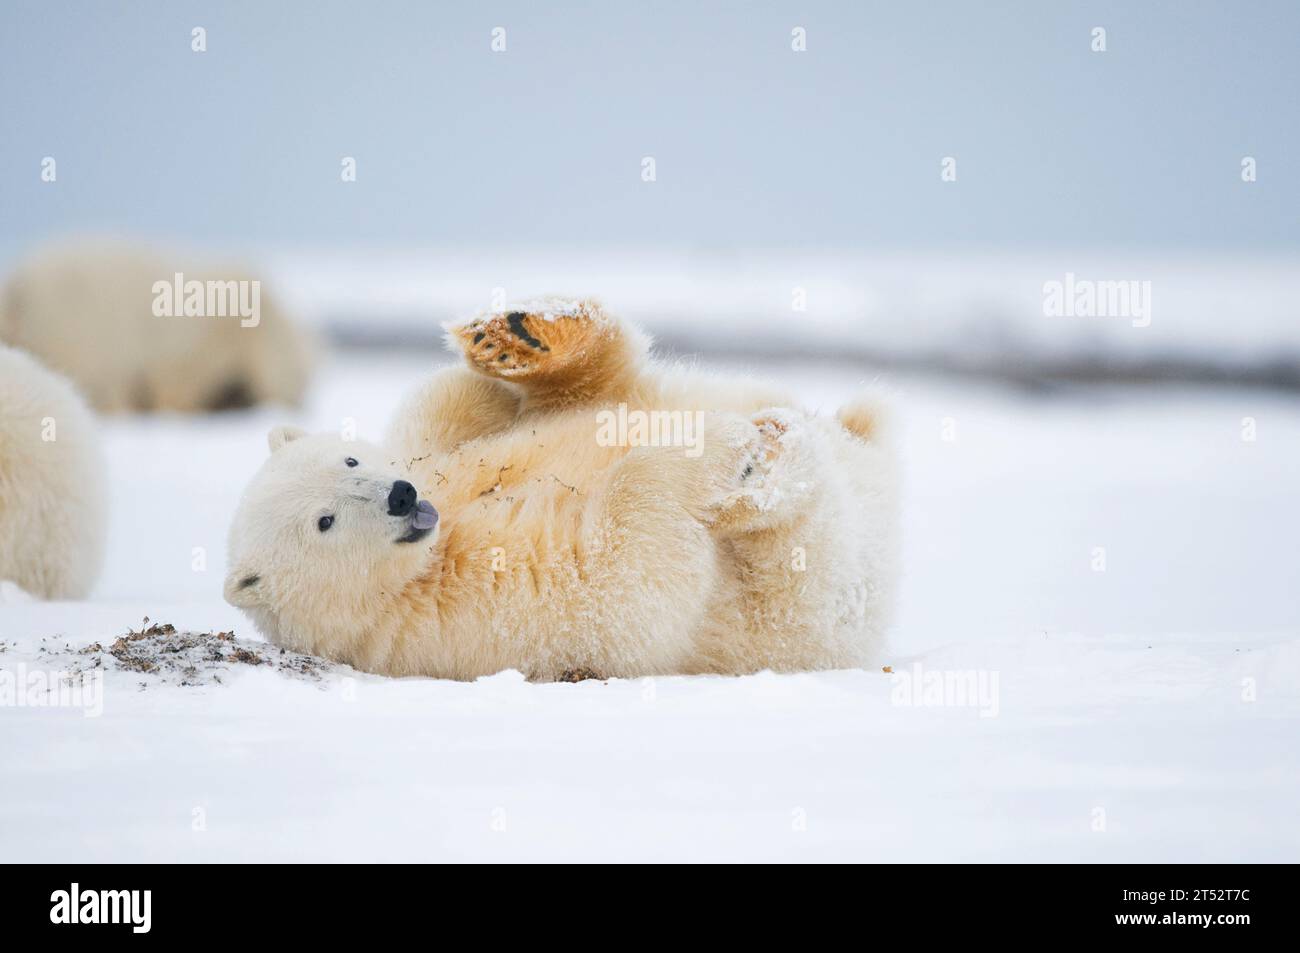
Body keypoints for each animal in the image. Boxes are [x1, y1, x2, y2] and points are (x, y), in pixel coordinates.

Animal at [223, 298, 898, 680]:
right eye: (325, 522)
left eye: (350, 458)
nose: (401, 496)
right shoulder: (459, 613)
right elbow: (625, 583)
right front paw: (721, 448)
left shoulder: (436, 458)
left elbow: (443, 403)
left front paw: (496, 352)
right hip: (807, 606)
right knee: (792, 547)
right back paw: (768, 460)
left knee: (609, 381)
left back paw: (532, 333)